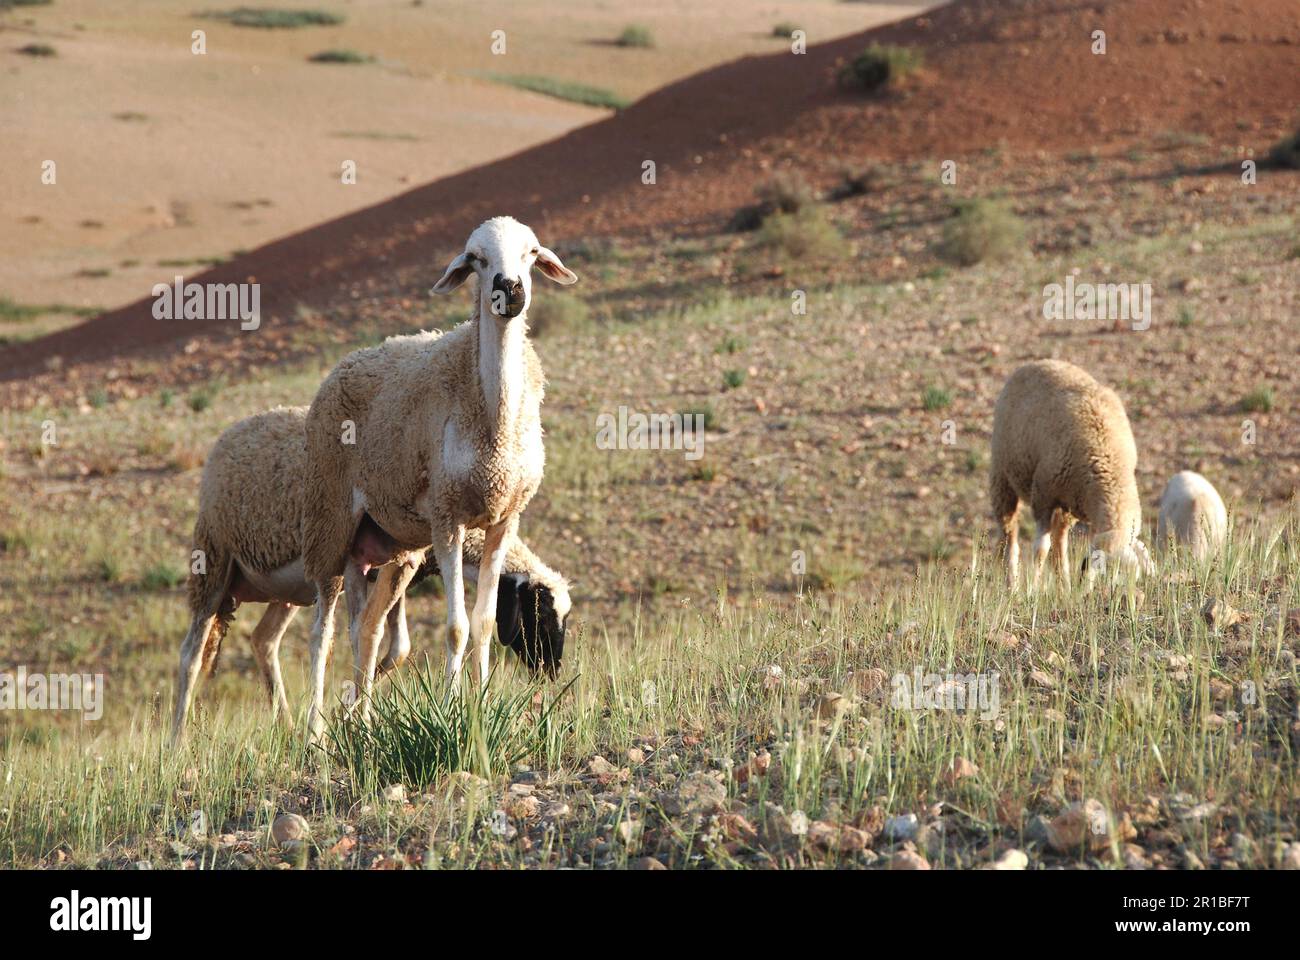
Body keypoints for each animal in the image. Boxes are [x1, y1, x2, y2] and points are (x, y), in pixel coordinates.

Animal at [172, 405, 572, 741]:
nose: (552, 674)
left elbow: (397, 646)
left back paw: (286, 726)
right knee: (191, 653)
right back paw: (178, 742)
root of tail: (232, 432)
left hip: (287, 590)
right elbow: (373, 637)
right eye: (538, 615)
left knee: (263, 639)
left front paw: (350, 708)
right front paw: (349, 710)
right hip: (214, 559)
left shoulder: (401, 569)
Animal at [299, 216, 576, 739]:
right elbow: (456, 627)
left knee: (364, 628)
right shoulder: (448, 520)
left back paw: (362, 722)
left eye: (531, 253)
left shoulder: (501, 519)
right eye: (476, 260)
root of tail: (345, 362)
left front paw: (481, 706)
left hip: (379, 541)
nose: (509, 289)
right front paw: (450, 712)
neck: (493, 416)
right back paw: (315, 731)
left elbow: (483, 623)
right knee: (322, 635)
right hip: (329, 527)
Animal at [989, 359, 1153, 588]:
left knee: (1059, 543)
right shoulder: (1043, 495)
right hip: (1002, 478)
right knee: (1009, 537)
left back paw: (1064, 586)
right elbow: (1040, 549)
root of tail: (1040, 361)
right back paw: (1011, 585)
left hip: (1067, 506)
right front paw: (1033, 588)